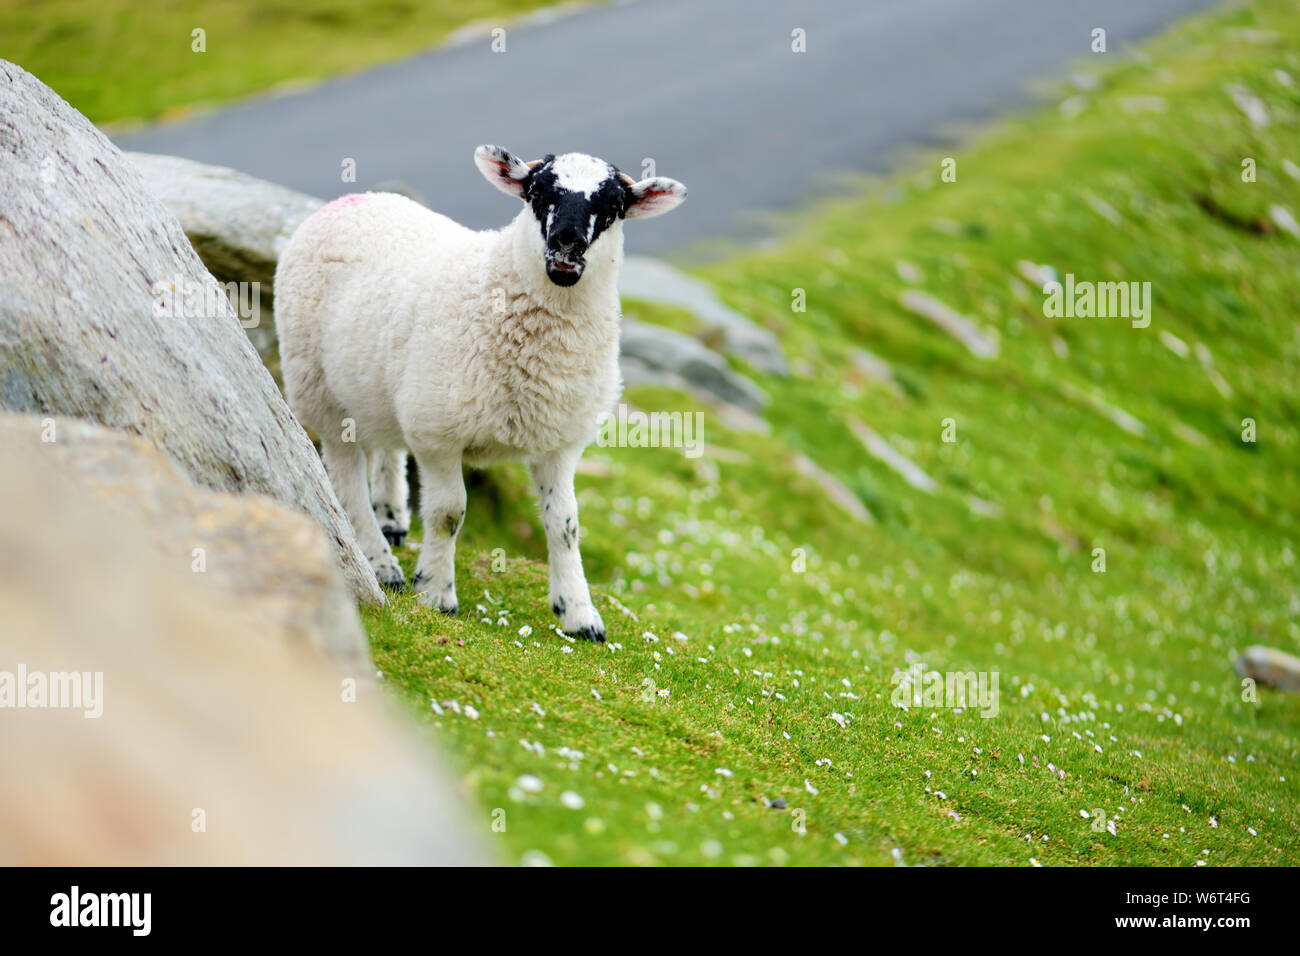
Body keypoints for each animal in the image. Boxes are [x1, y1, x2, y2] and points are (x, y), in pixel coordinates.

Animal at [274, 146, 687, 641]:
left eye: (612, 207)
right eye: (536, 193)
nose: (567, 243)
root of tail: (350, 199)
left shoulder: (561, 442)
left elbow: (565, 524)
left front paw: (578, 615)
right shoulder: (437, 434)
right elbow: (448, 514)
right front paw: (435, 593)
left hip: (376, 385)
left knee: (384, 445)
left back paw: (391, 515)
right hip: (318, 387)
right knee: (346, 479)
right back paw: (381, 562)